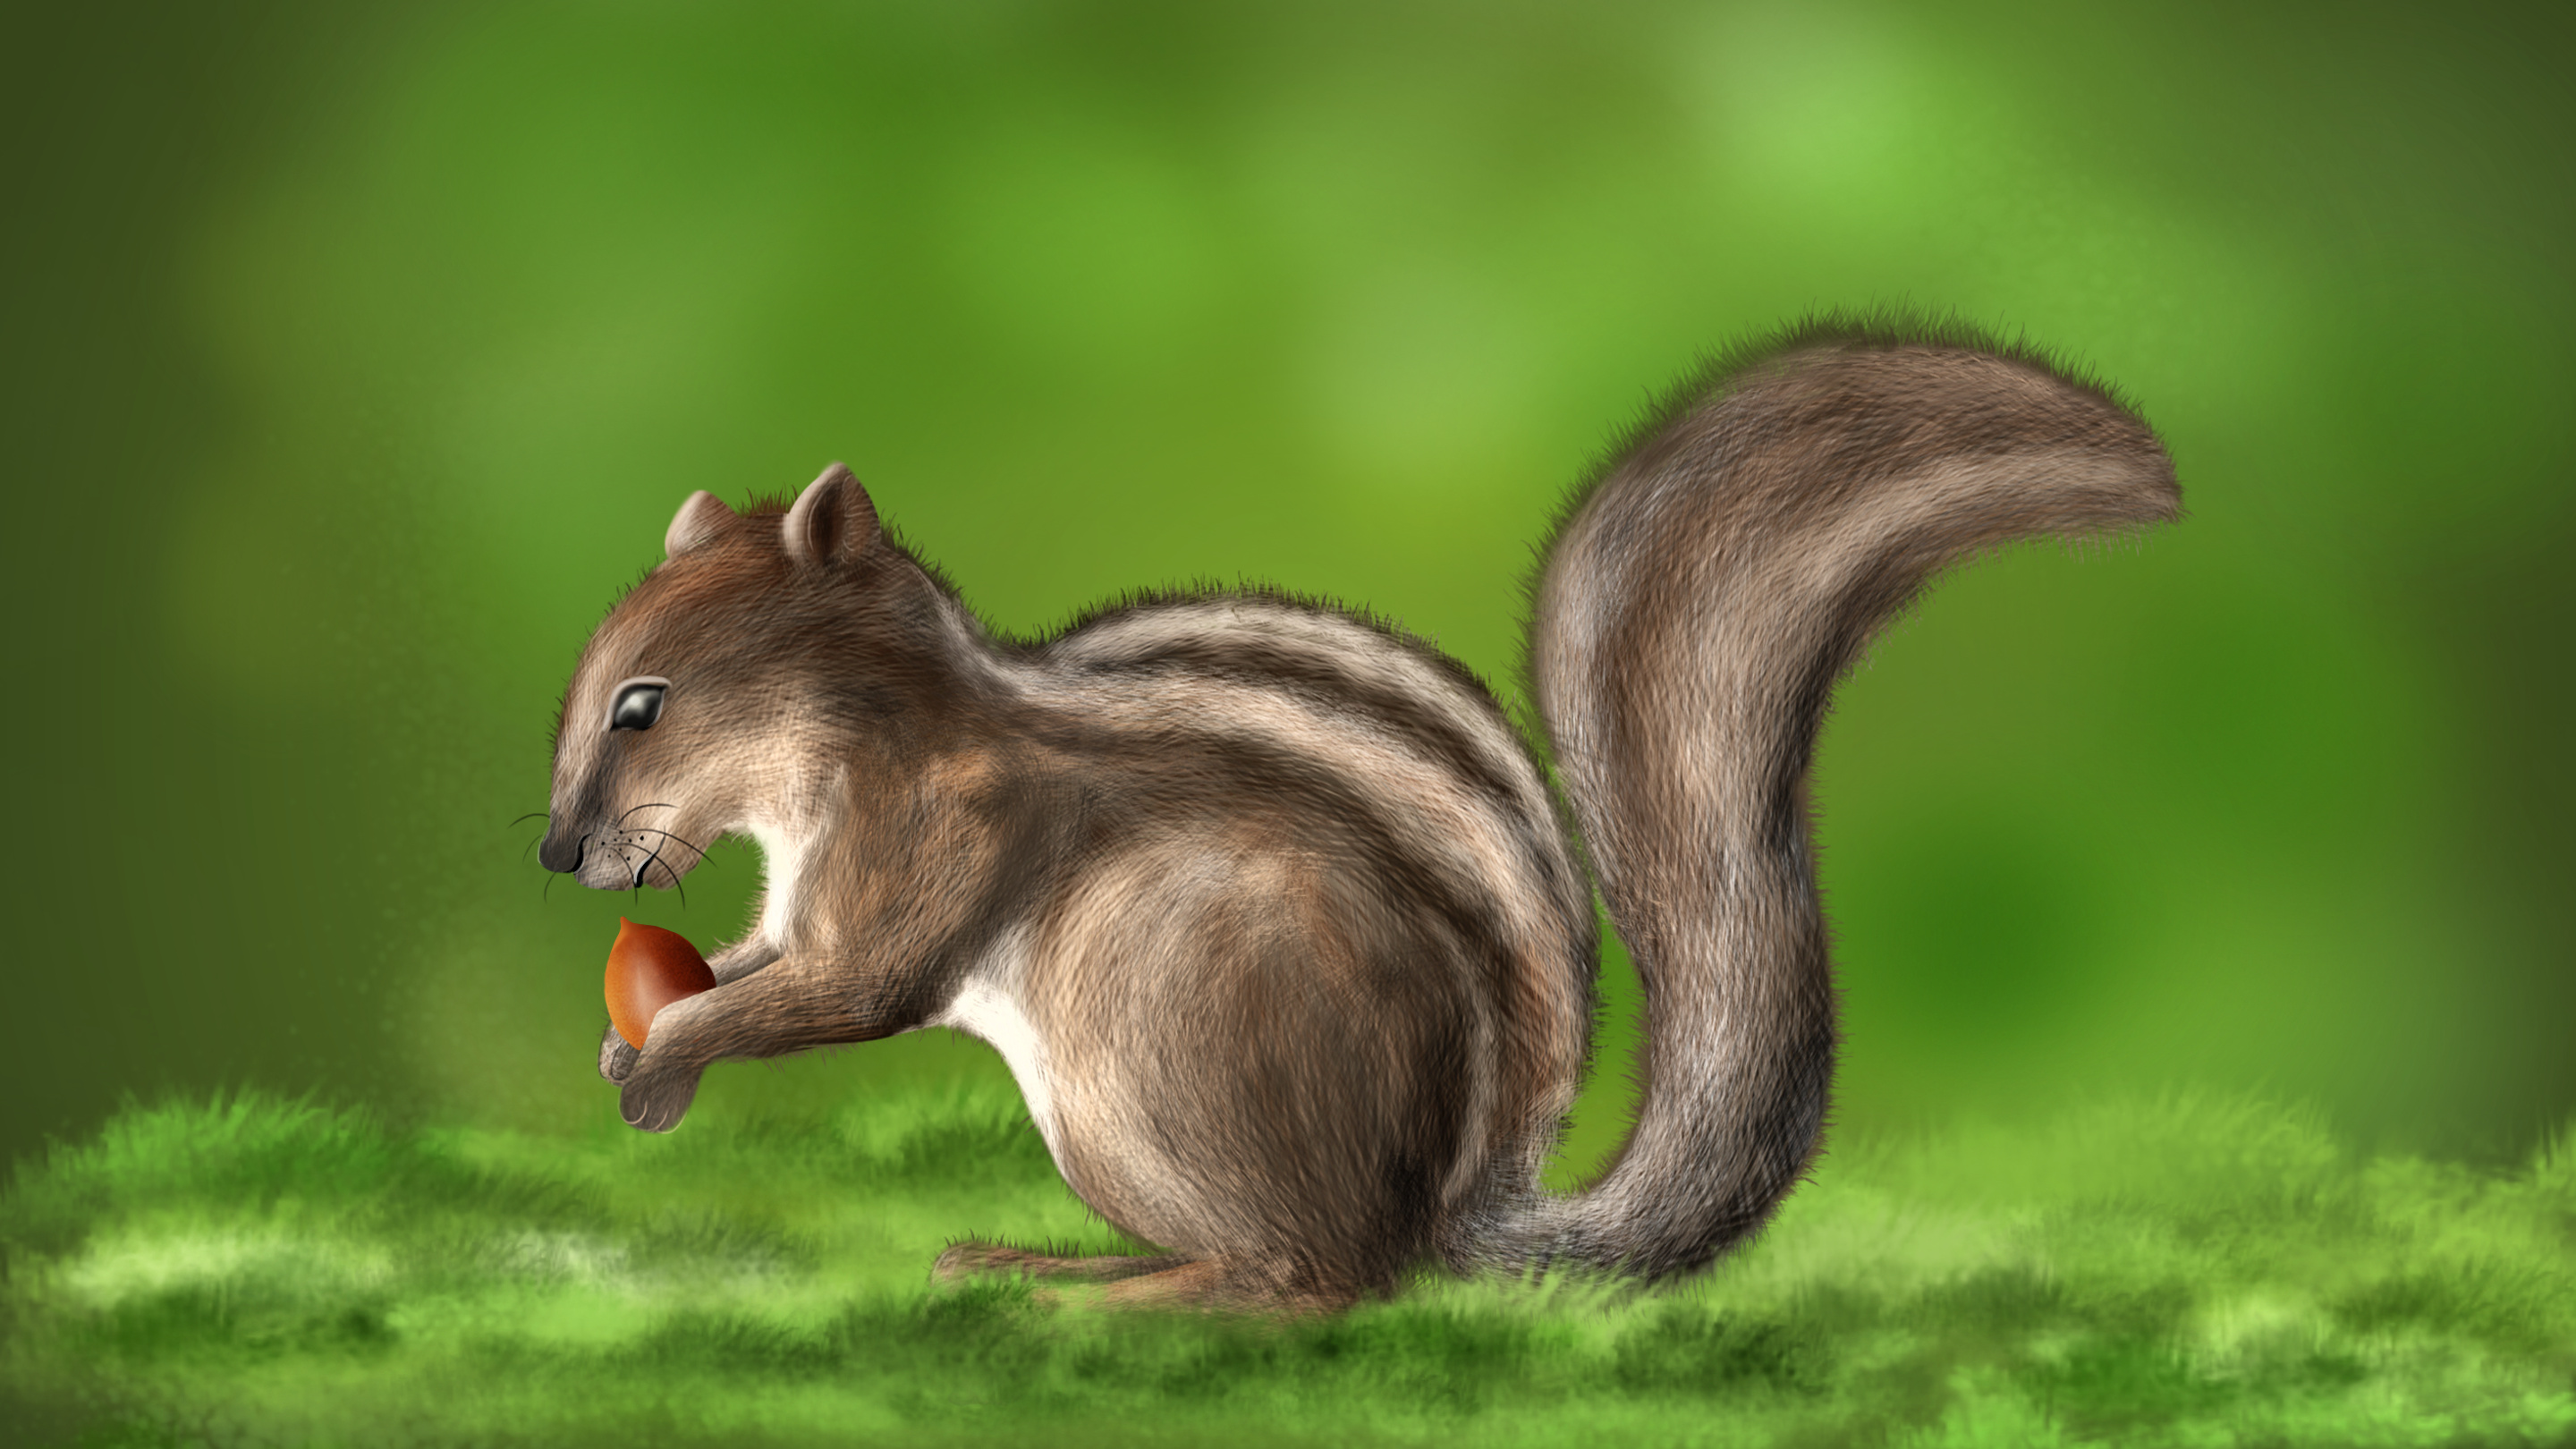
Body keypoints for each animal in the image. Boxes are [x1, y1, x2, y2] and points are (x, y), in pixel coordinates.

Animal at [537, 315, 2179, 1314]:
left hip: (1161, 1036)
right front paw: (633, 1042)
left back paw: (1087, 1293)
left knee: (1310, 1285)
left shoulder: (932, 848)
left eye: (644, 704)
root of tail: (1446, 1211)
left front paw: (665, 1056)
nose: (556, 852)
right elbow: (762, 965)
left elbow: (847, 991)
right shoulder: (794, 895)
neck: (858, 747)